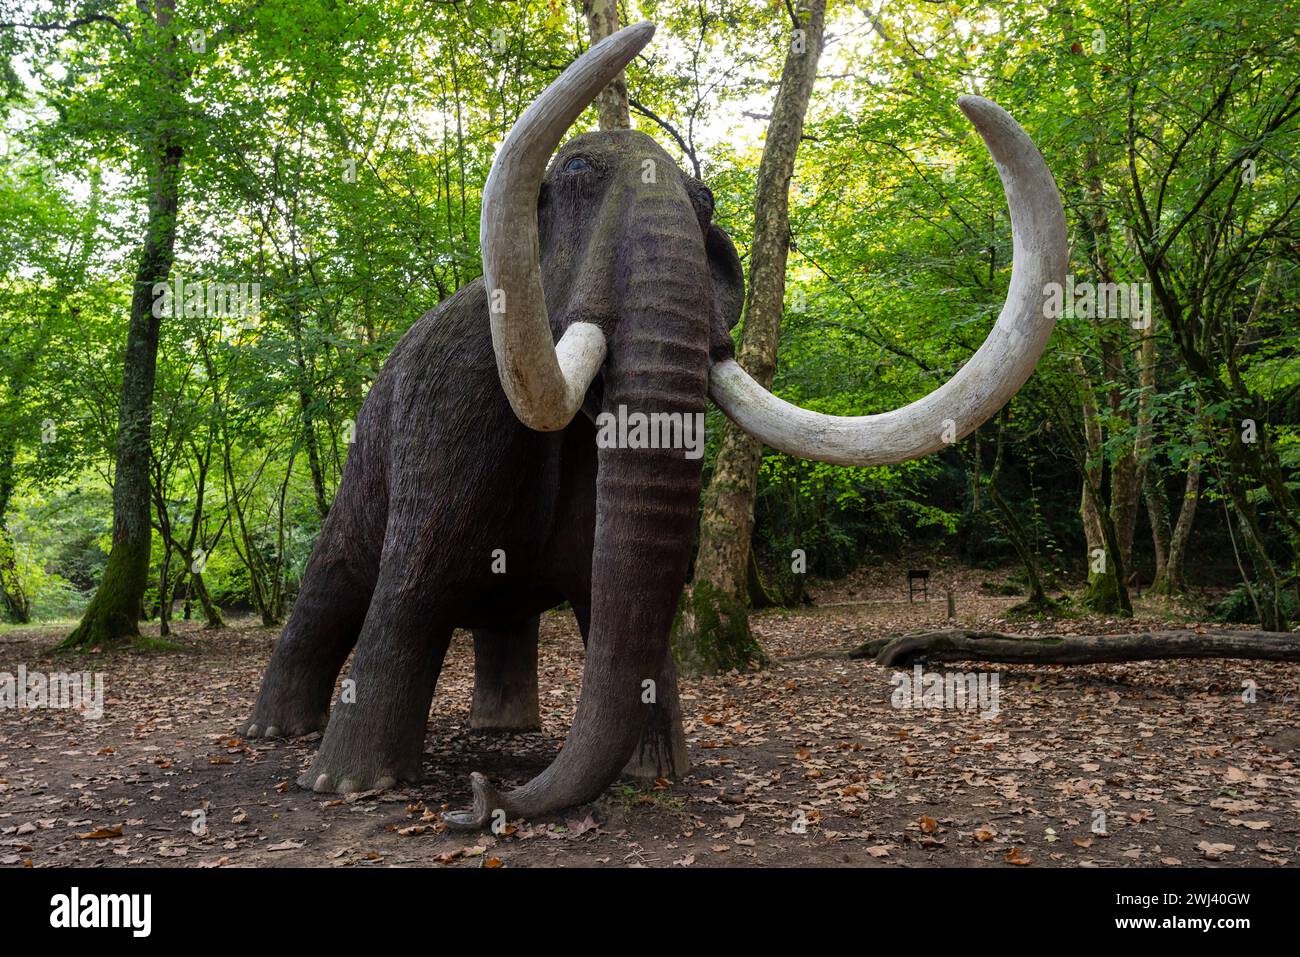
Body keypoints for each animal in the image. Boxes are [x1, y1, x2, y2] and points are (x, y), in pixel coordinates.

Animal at [238, 21, 1067, 830]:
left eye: (705, 201)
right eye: (575, 173)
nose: (478, 801)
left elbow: (609, 593)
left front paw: (661, 772)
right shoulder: (451, 407)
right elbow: (413, 588)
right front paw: (350, 785)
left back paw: (505, 731)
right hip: (362, 467)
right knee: (335, 585)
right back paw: (278, 733)